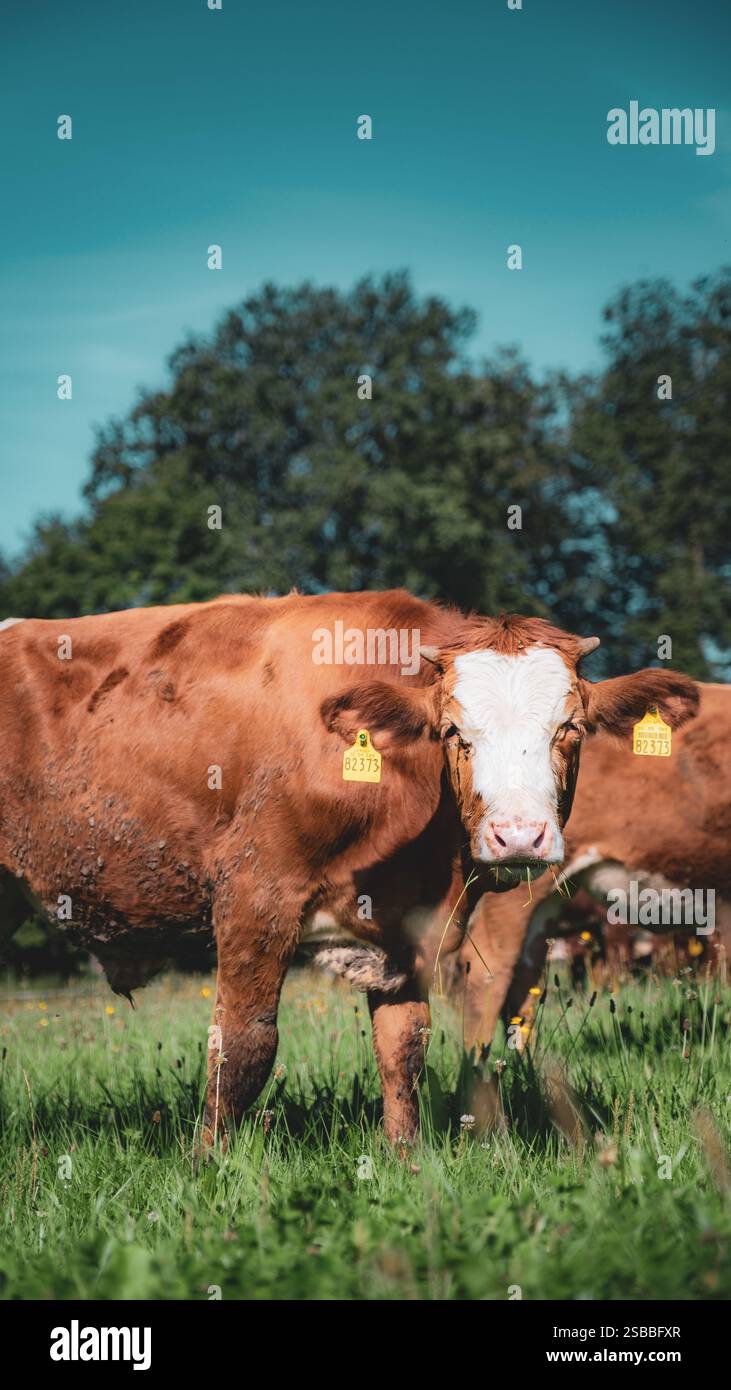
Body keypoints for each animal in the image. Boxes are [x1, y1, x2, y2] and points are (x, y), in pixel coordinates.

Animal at [0, 590, 698, 1145]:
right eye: (453, 732)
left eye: (571, 727)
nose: (519, 836)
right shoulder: (254, 895)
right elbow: (243, 1049)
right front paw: (206, 1167)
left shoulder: (409, 929)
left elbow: (404, 1048)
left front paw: (405, 1159)